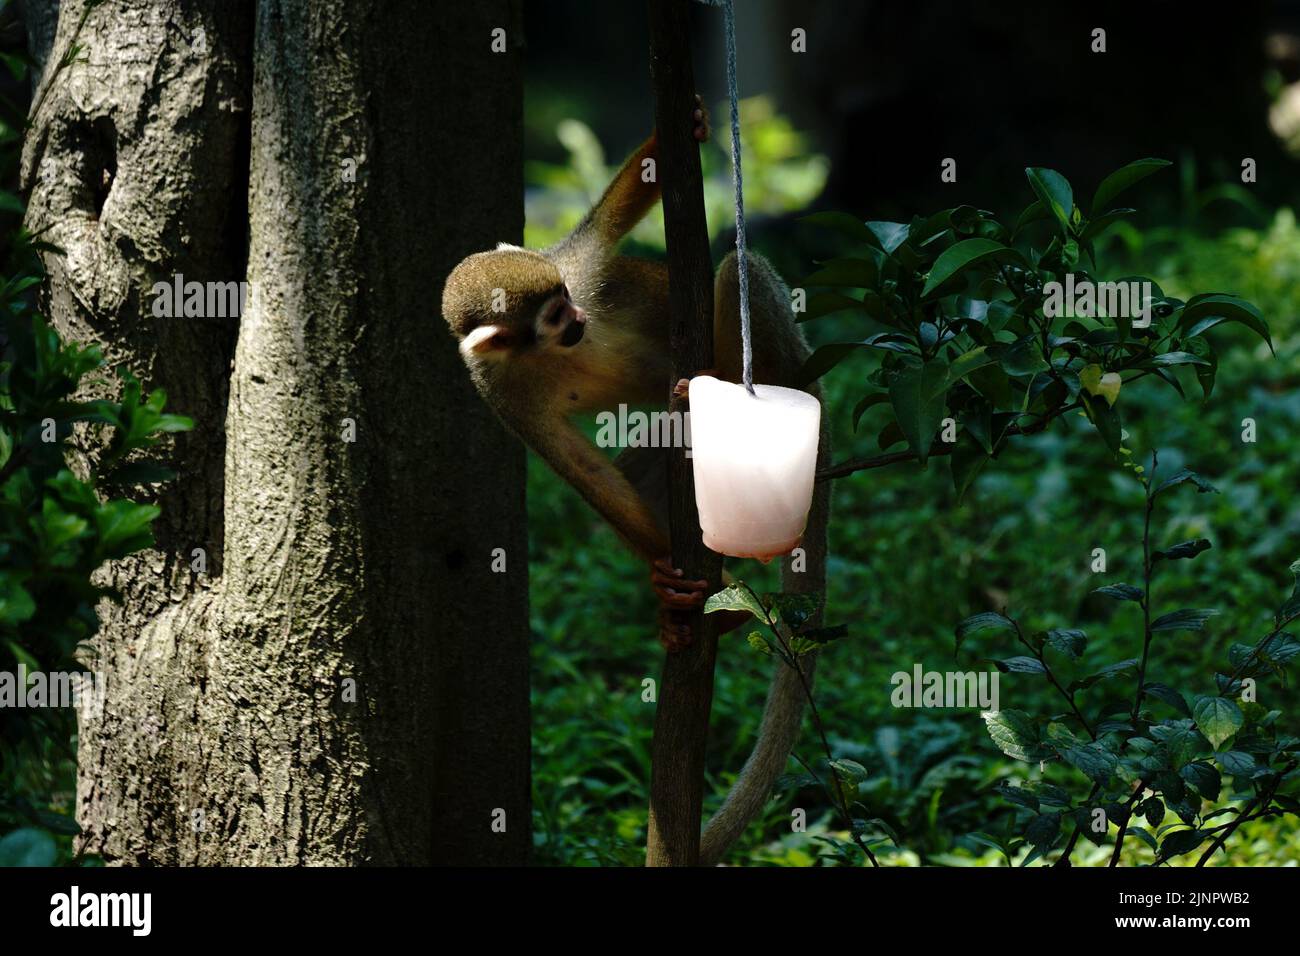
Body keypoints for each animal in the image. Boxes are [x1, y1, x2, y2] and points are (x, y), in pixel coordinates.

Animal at [441, 99, 831, 866]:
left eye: (566, 301)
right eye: (553, 316)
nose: (578, 318)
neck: (543, 353)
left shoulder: (572, 266)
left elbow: (608, 225)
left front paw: (683, 131)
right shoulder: (497, 392)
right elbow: (585, 474)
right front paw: (674, 587)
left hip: (791, 366)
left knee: (736, 269)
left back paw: (738, 386)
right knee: (641, 463)